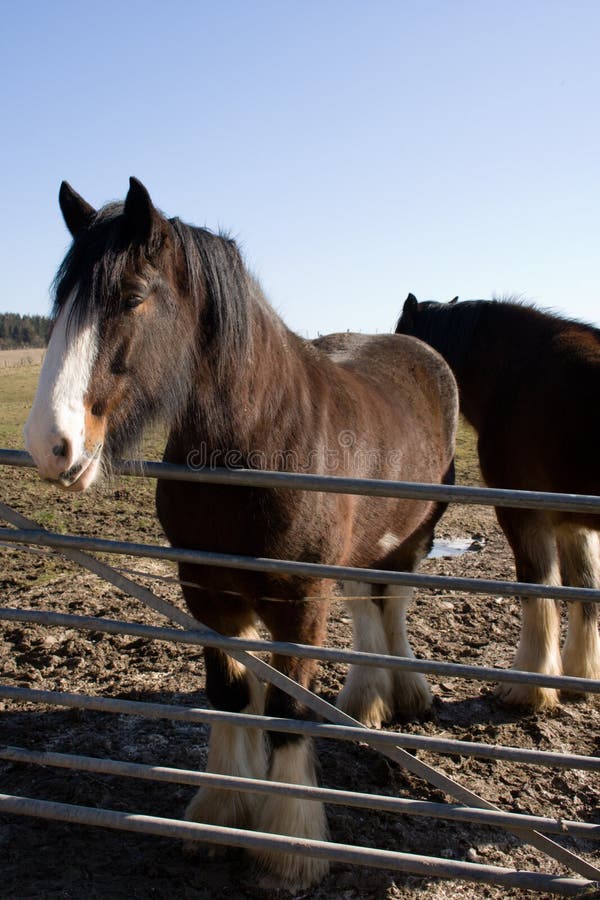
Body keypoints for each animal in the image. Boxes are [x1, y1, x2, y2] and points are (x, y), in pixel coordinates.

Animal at [24, 179, 457, 890]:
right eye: (61, 303)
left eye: (132, 297)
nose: (49, 444)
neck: (261, 437)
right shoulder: (208, 595)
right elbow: (230, 697)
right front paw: (222, 815)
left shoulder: (298, 603)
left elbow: (285, 712)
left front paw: (288, 848)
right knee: (368, 606)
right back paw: (366, 702)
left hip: (411, 540)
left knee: (390, 603)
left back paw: (404, 695)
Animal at [396, 294, 600, 711]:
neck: (516, 373)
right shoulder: (574, 523)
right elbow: (583, 591)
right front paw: (579, 675)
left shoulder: (523, 515)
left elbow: (538, 590)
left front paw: (526, 687)